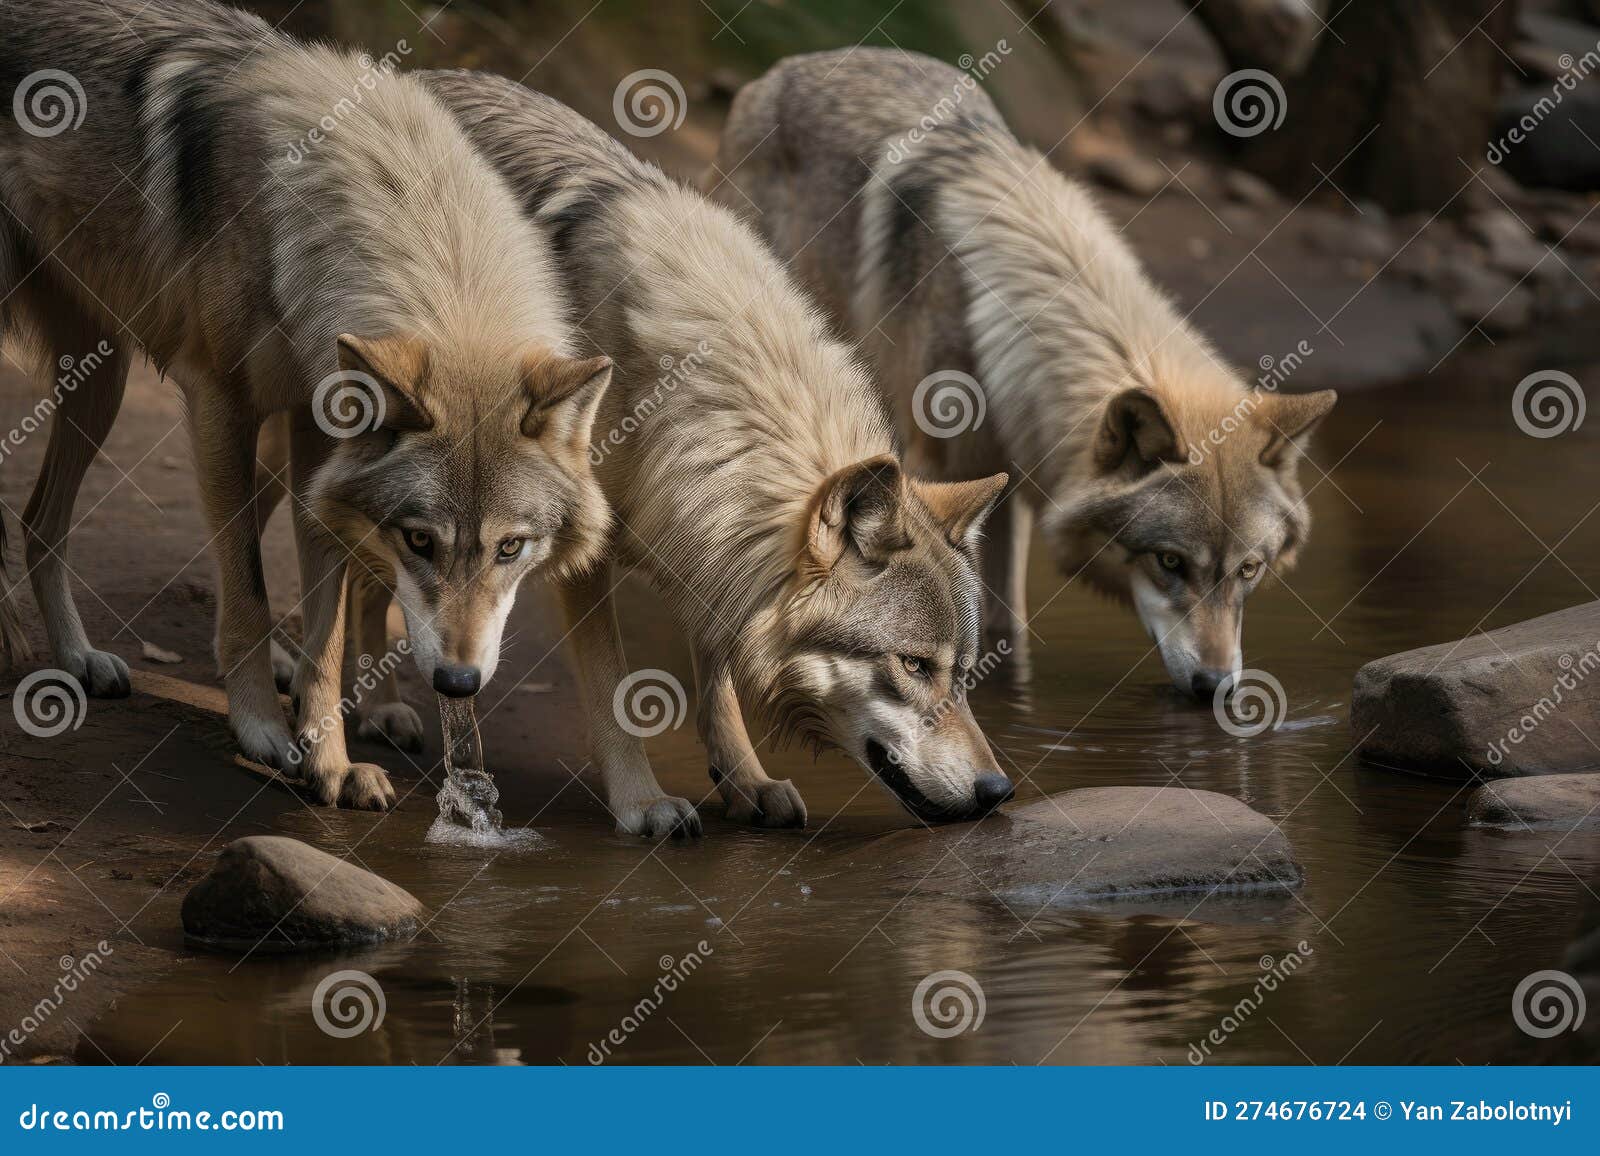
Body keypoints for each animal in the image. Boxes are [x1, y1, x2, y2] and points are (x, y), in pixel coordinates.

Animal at [0, 0, 610, 807]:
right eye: (419, 540)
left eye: (511, 548)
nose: (457, 683)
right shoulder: (219, 402)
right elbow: (249, 593)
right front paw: (261, 727)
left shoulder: (316, 439)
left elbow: (326, 630)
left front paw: (329, 762)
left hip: (100, 381)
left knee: (40, 520)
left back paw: (76, 658)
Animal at [386, 71, 1017, 835]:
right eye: (915, 665)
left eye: (962, 673)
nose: (998, 790)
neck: (692, 391)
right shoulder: (582, 555)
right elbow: (612, 685)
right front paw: (642, 801)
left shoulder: (707, 533)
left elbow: (716, 671)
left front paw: (746, 779)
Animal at [714, 49, 1338, 697]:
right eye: (1169, 562)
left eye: (1249, 570)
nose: (1216, 686)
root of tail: (781, 69)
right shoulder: (932, 472)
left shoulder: (1003, 484)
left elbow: (1004, 621)